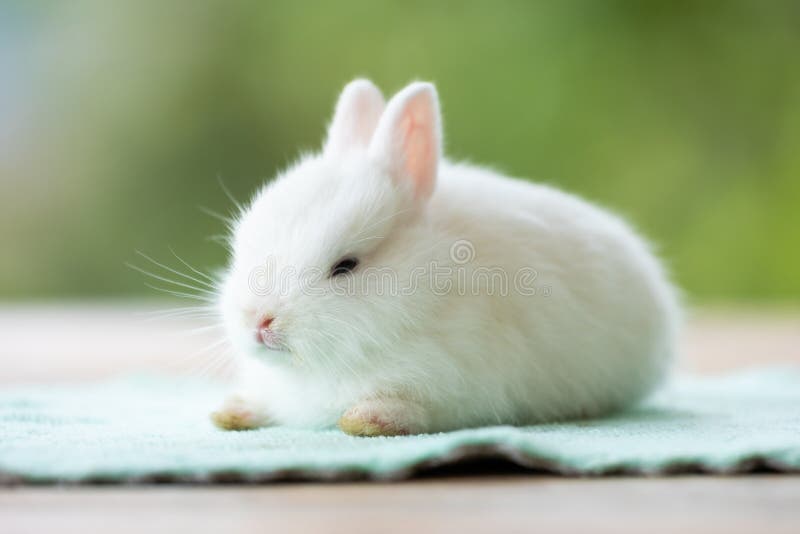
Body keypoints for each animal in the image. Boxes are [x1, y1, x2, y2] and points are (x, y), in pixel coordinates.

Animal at [210, 79, 681, 436]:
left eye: (346, 266)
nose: (259, 321)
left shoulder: (458, 385)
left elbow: (417, 410)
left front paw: (368, 419)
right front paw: (234, 410)